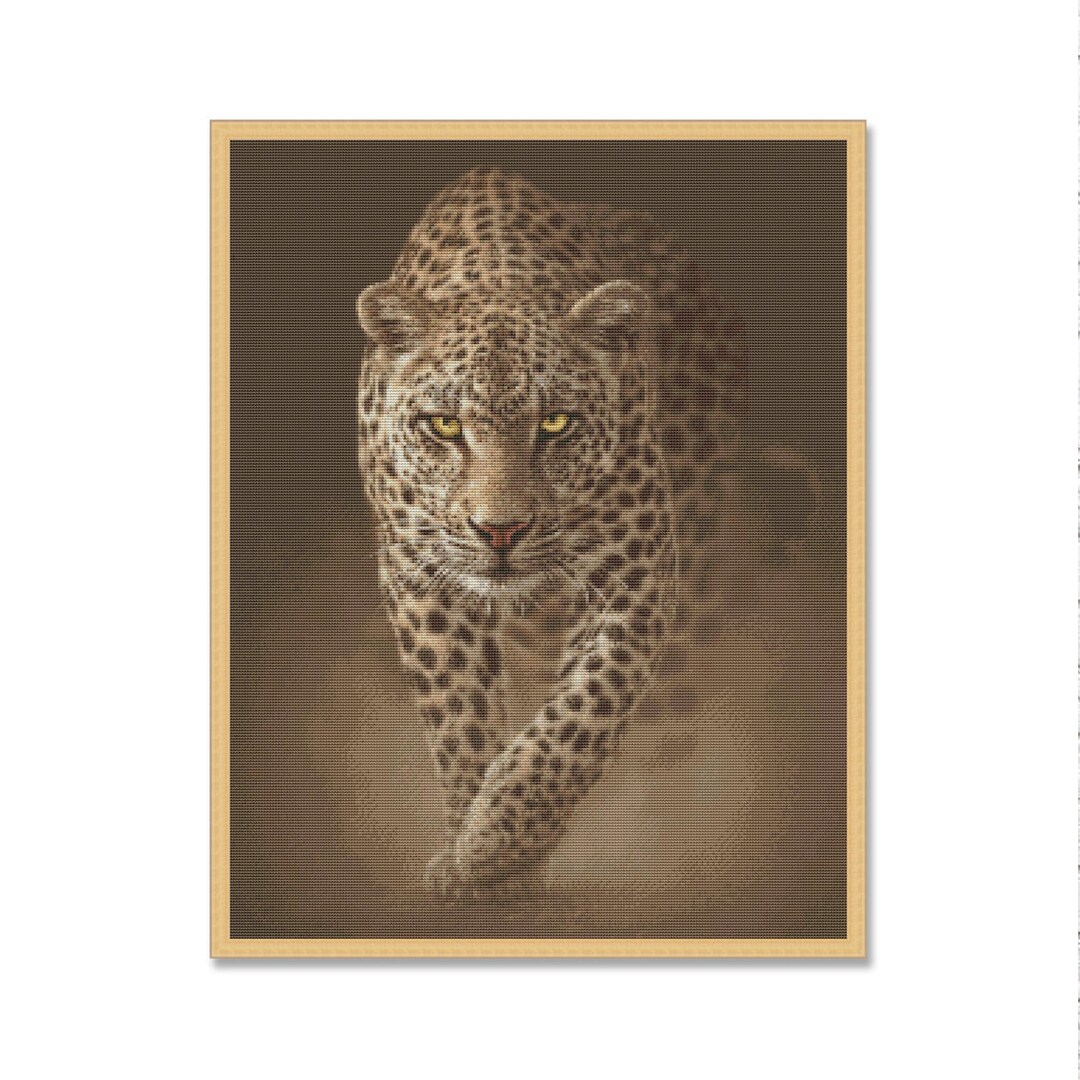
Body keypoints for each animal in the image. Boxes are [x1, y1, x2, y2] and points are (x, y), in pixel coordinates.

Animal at [355, 165, 748, 898]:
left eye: (556, 423)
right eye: (445, 426)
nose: (500, 531)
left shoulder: (634, 574)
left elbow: (581, 717)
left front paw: (498, 845)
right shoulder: (419, 576)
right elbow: (459, 716)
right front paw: (475, 858)